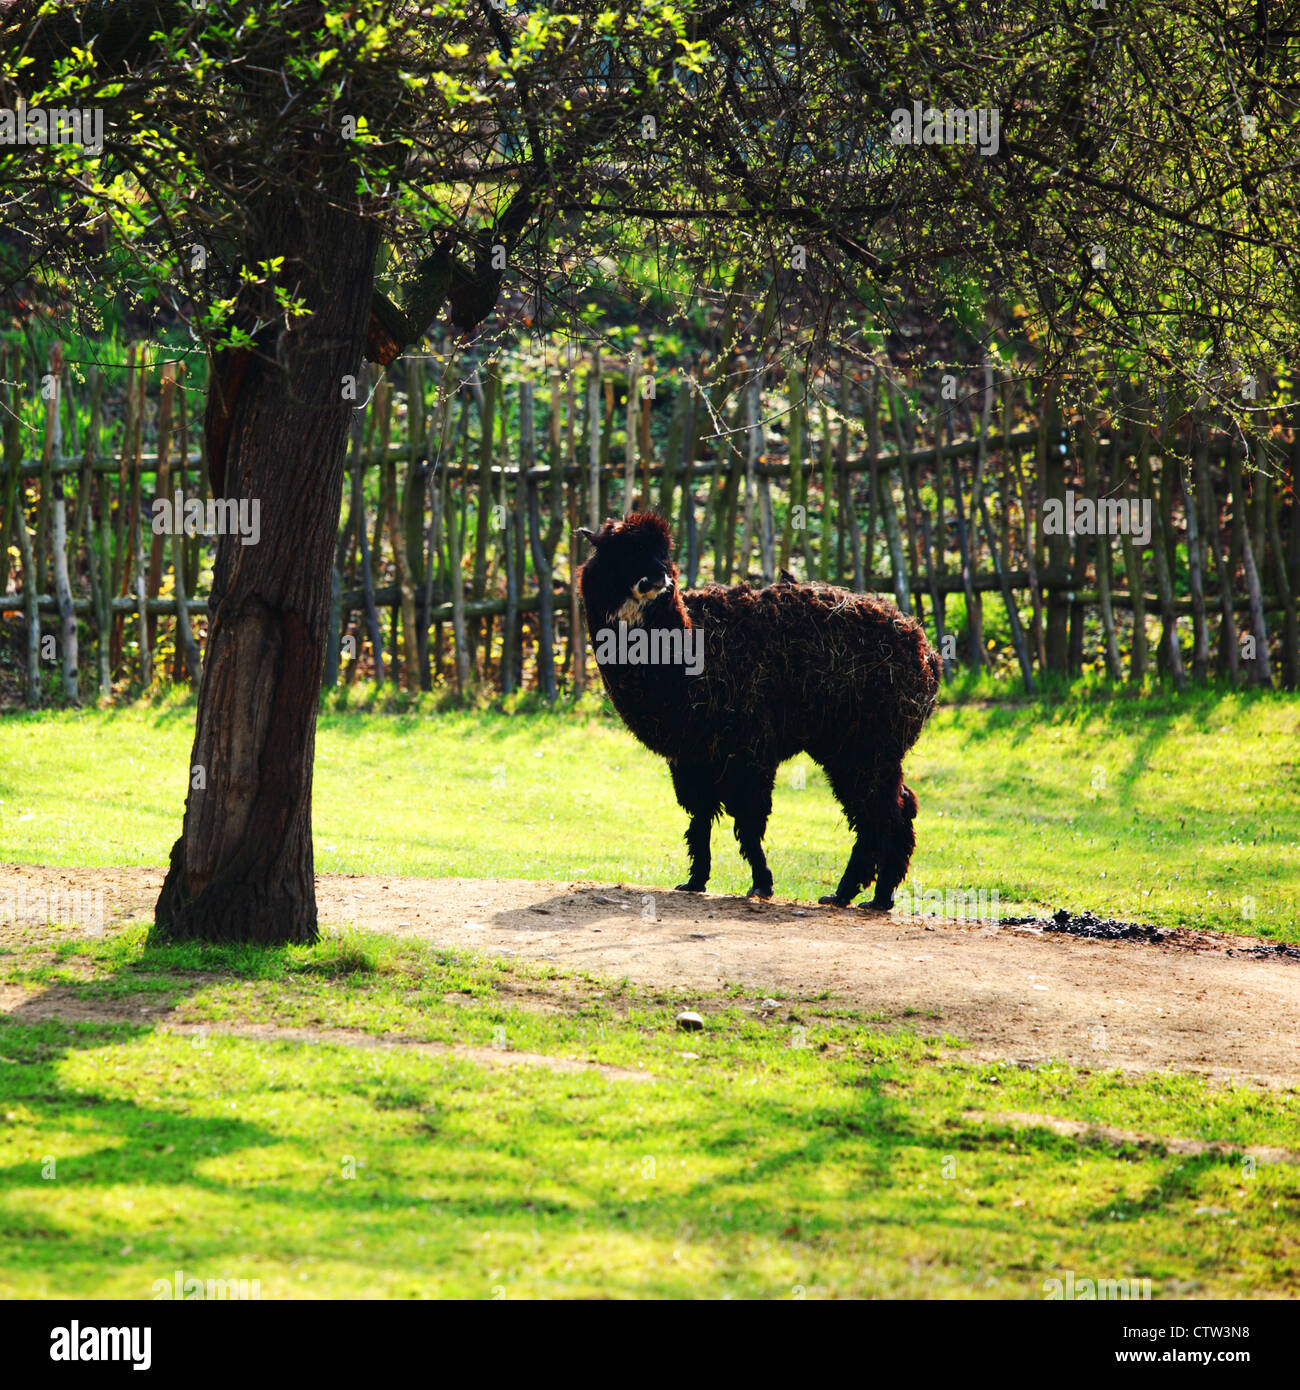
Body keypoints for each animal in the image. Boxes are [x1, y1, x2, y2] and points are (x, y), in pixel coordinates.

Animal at [577, 511, 941, 909]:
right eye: (627, 550)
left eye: (663, 551)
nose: (660, 577)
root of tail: (924, 647)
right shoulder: (691, 757)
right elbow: (700, 818)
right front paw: (695, 881)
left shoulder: (747, 748)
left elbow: (748, 819)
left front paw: (761, 884)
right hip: (848, 748)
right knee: (894, 807)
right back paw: (865, 895)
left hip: (869, 744)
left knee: (883, 812)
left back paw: (862, 894)